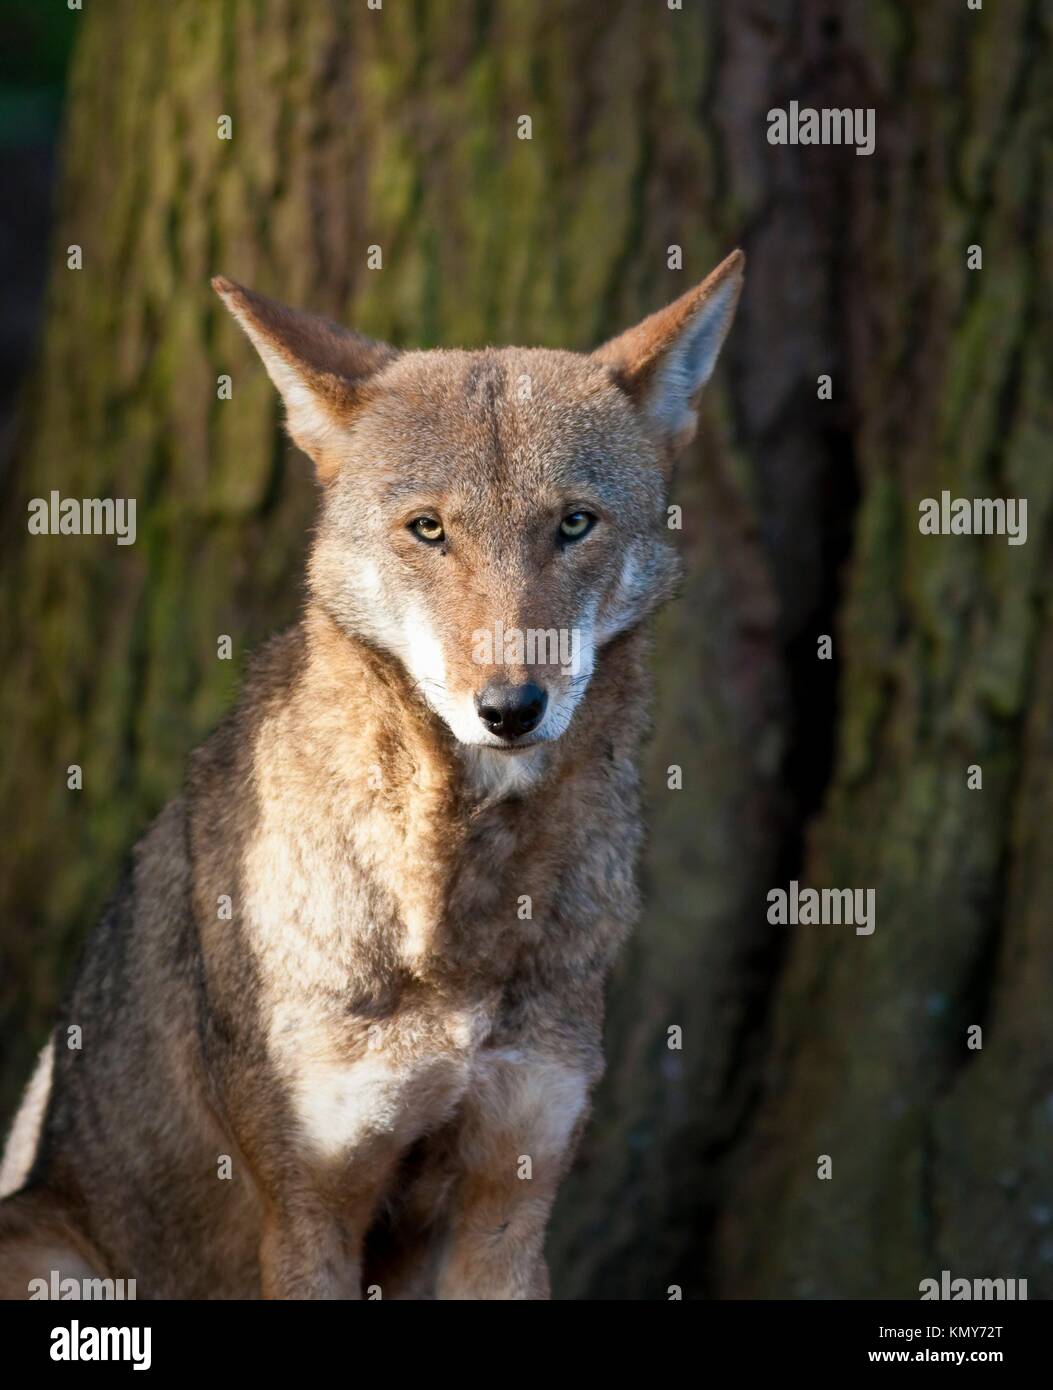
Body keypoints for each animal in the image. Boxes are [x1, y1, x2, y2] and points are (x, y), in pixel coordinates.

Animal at [0, 250, 744, 1299]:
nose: (510, 707)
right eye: (427, 529)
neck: (456, 913)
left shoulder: (508, 1211)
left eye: (574, 524)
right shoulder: (309, 1213)